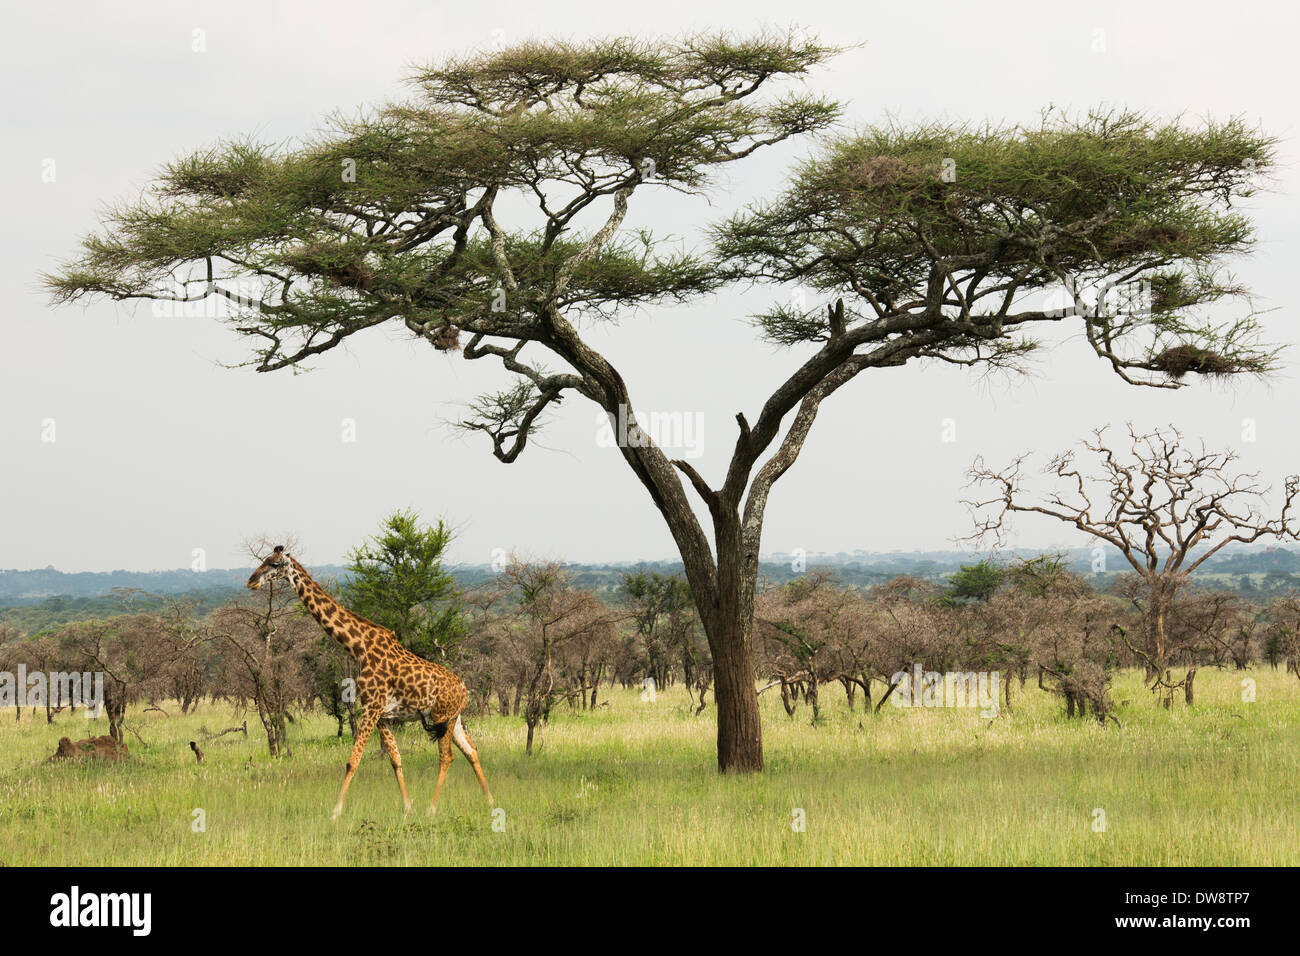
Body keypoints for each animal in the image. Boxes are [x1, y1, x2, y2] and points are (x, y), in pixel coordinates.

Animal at [246, 546, 493, 819]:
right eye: (264, 560)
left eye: (274, 564)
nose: (251, 581)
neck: (358, 646)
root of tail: (464, 689)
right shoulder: (383, 715)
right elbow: (395, 760)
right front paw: (407, 808)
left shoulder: (371, 707)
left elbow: (352, 760)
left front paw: (336, 812)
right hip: (453, 718)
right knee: (472, 750)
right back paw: (490, 801)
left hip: (441, 716)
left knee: (447, 756)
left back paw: (432, 807)